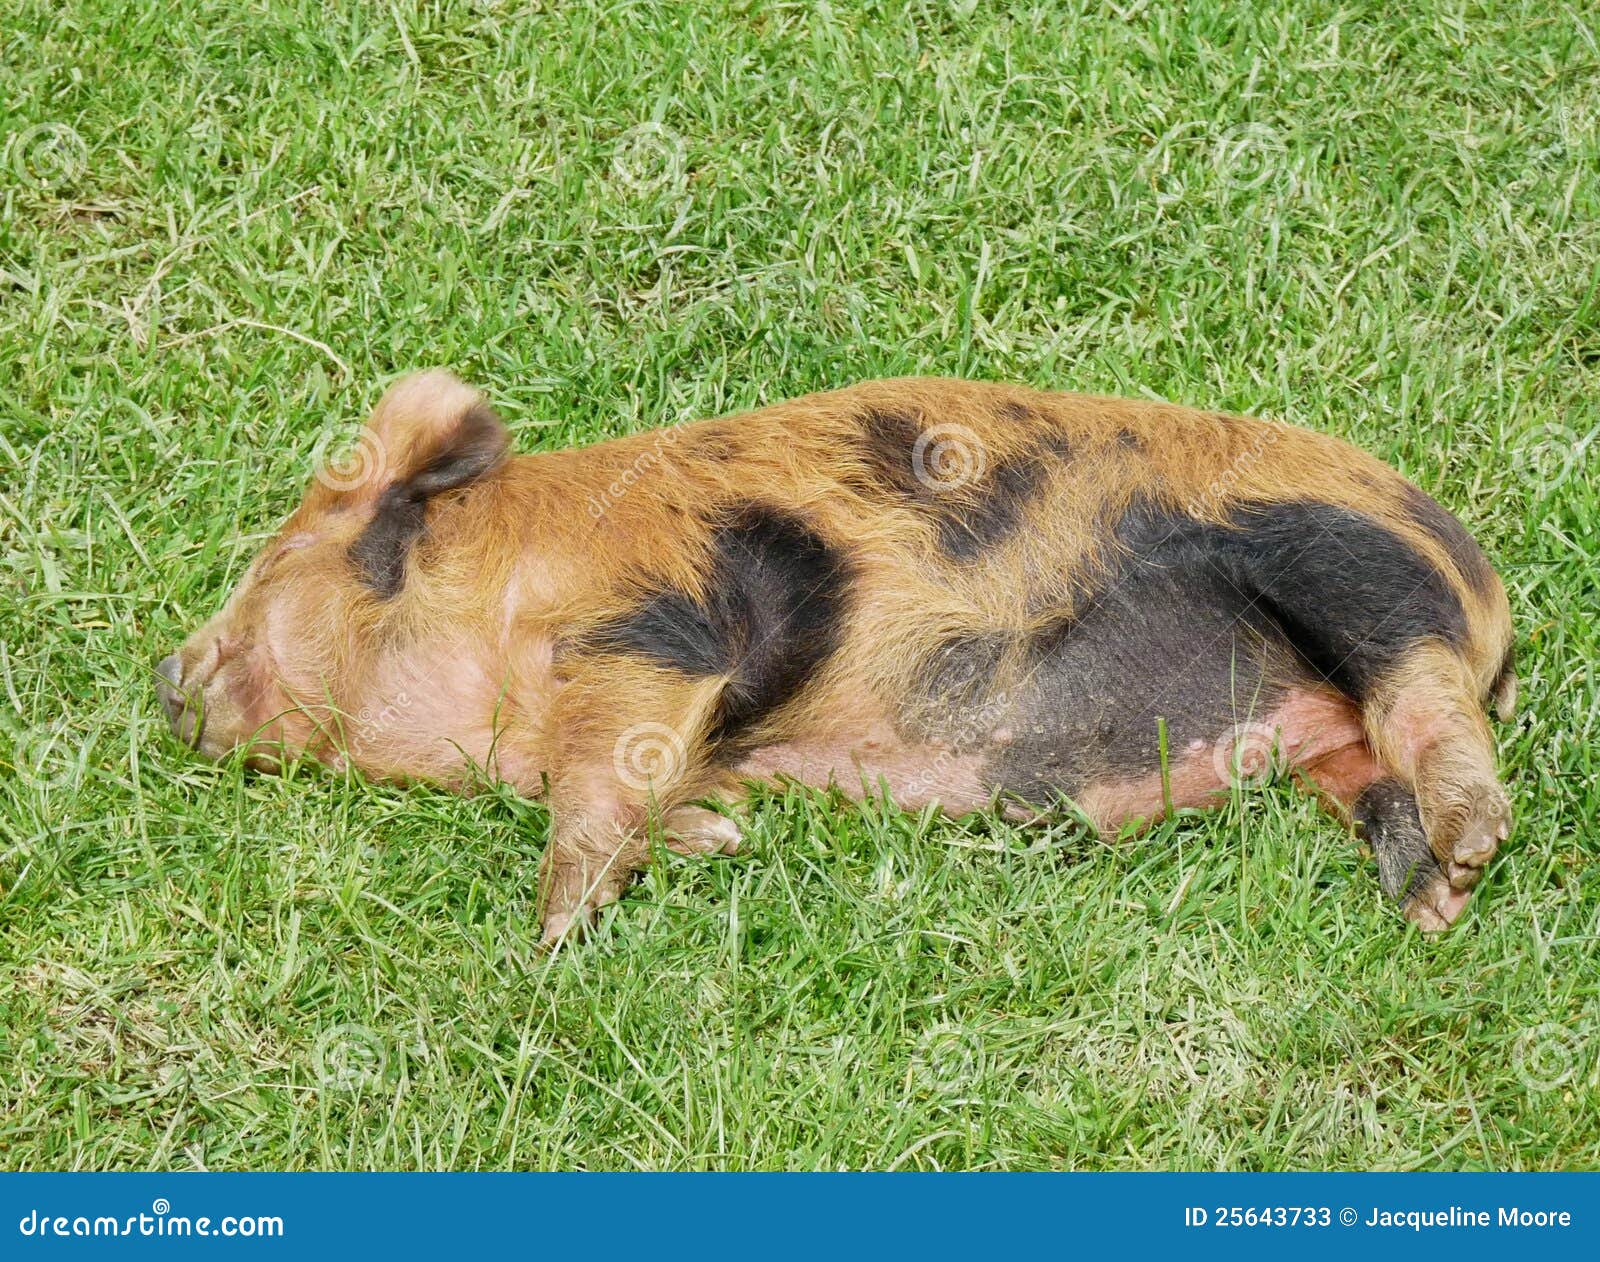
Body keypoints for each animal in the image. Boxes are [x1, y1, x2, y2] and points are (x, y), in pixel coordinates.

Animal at [156, 372, 1516, 942]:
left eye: (266, 574)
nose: (170, 675)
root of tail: (1490, 588)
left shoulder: (657, 619)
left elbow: (601, 772)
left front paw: (550, 935)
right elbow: (656, 790)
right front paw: (714, 836)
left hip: (1343, 556)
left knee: (1417, 679)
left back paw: (1467, 849)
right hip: (1323, 727)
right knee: (1364, 758)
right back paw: (1431, 900)